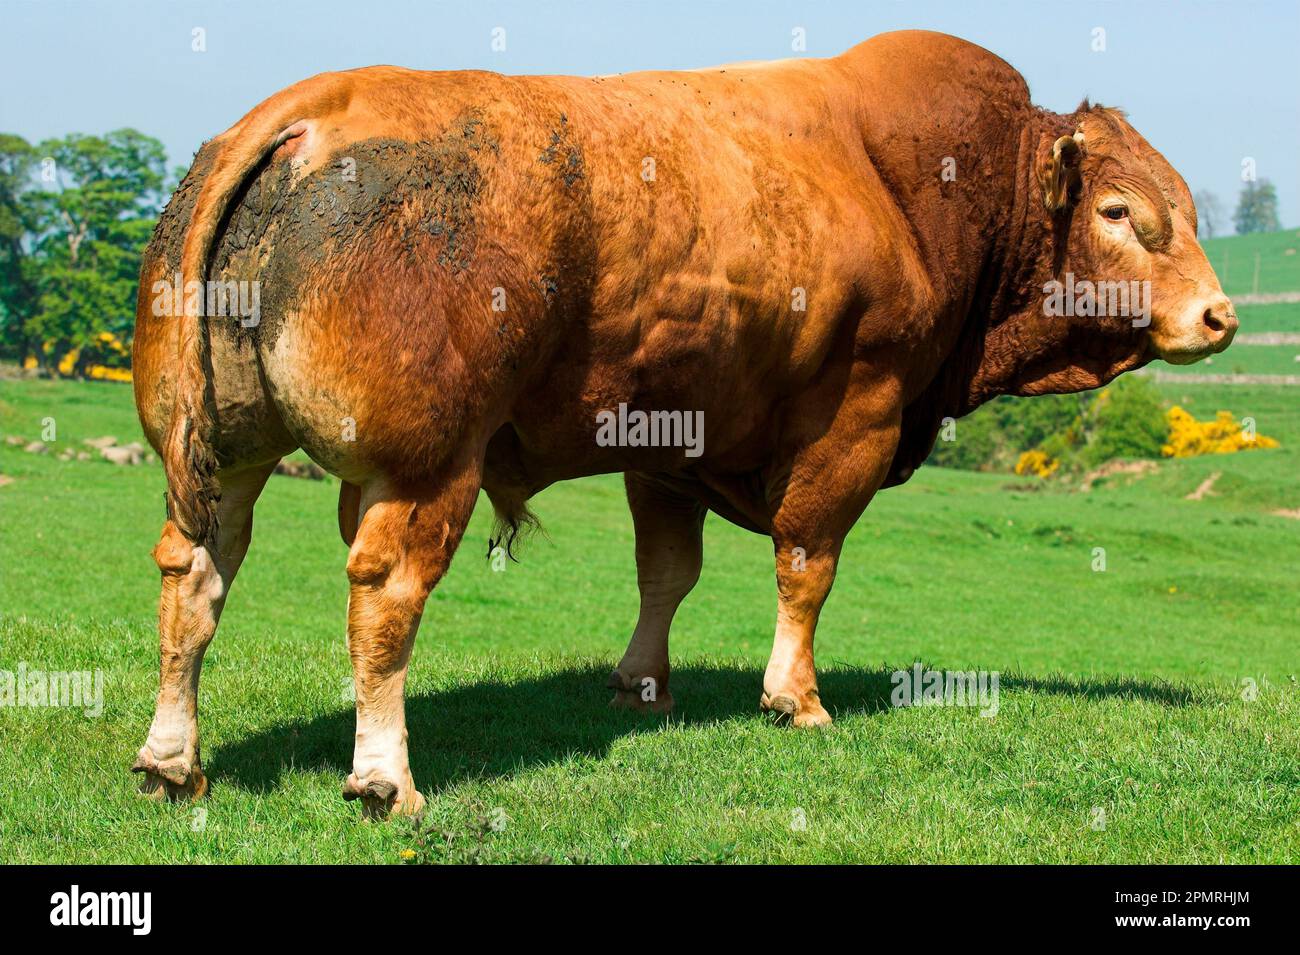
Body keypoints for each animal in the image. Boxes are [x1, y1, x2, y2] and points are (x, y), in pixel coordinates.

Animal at [130, 30, 1236, 817]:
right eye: (1122, 214)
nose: (1220, 315)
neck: (927, 189)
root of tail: (313, 107)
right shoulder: (859, 417)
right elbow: (807, 564)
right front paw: (796, 697)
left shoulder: (664, 440)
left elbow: (666, 573)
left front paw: (642, 683)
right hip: (426, 463)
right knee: (384, 596)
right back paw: (384, 779)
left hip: (222, 452)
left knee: (196, 572)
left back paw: (172, 759)